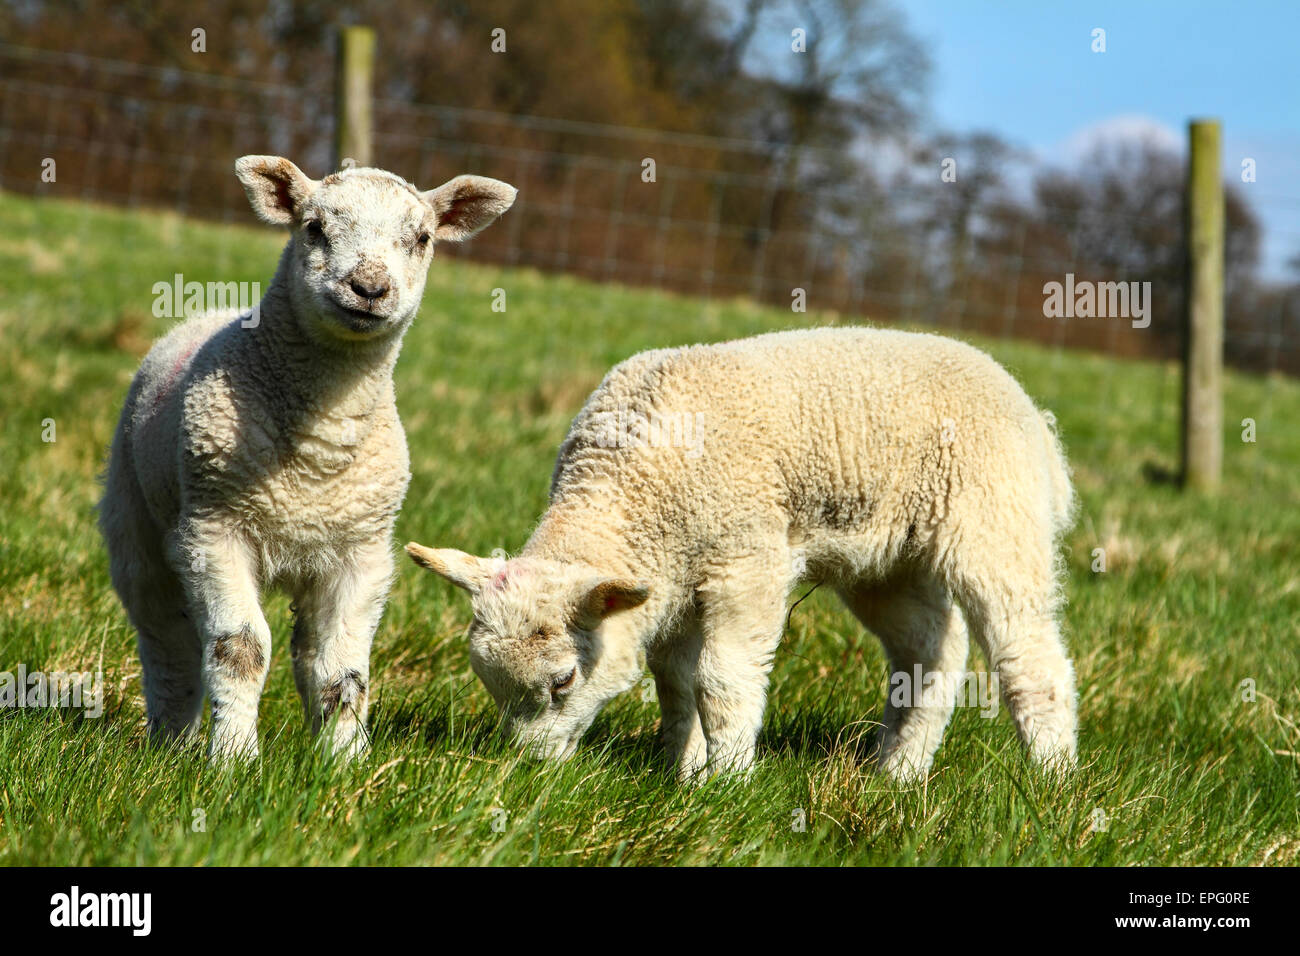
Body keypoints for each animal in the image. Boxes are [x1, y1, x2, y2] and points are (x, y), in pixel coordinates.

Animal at [99, 155, 517, 761]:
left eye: (421, 238)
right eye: (314, 227)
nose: (370, 288)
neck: (317, 457)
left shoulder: (361, 554)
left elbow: (341, 669)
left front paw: (346, 763)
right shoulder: (214, 533)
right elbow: (239, 648)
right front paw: (234, 759)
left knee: (306, 652)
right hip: (136, 527)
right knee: (166, 641)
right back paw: (171, 741)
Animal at [406, 326, 1077, 781]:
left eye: (564, 680)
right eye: (489, 685)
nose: (528, 768)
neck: (627, 489)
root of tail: (1026, 406)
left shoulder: (745, 558)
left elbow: (721, 678)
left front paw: (726, 779)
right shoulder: (674, 578)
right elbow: (676, 681)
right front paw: (681, 769)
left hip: (995, 525)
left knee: (1029, 658)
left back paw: (1052, 780)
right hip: (886, 561)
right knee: (932, 651)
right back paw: (898, 776)